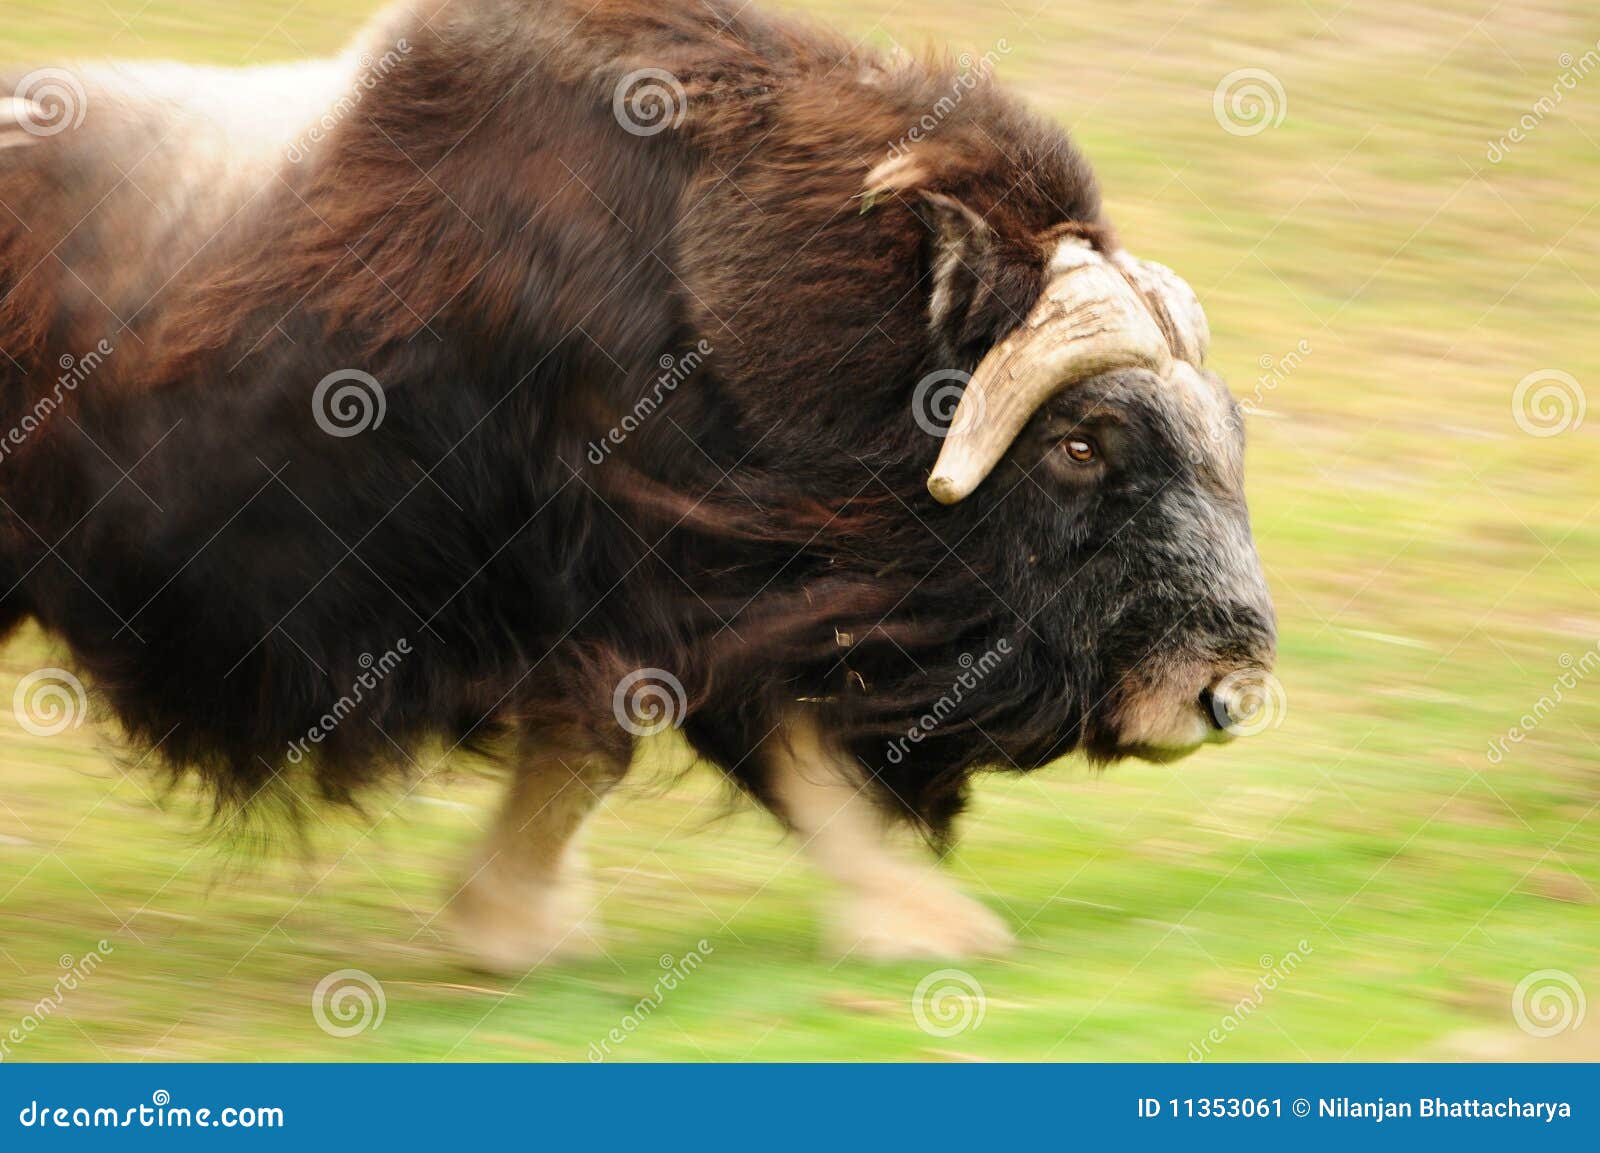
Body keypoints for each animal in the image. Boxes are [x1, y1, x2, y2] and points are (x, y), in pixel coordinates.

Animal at [0, 0, 1276, 969]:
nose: (1227, 692)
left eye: (1223, 431)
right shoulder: (640, 579)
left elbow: (733, 738)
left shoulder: (720, 587)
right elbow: (669, 739)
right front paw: (514, 926)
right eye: (1082, 443)